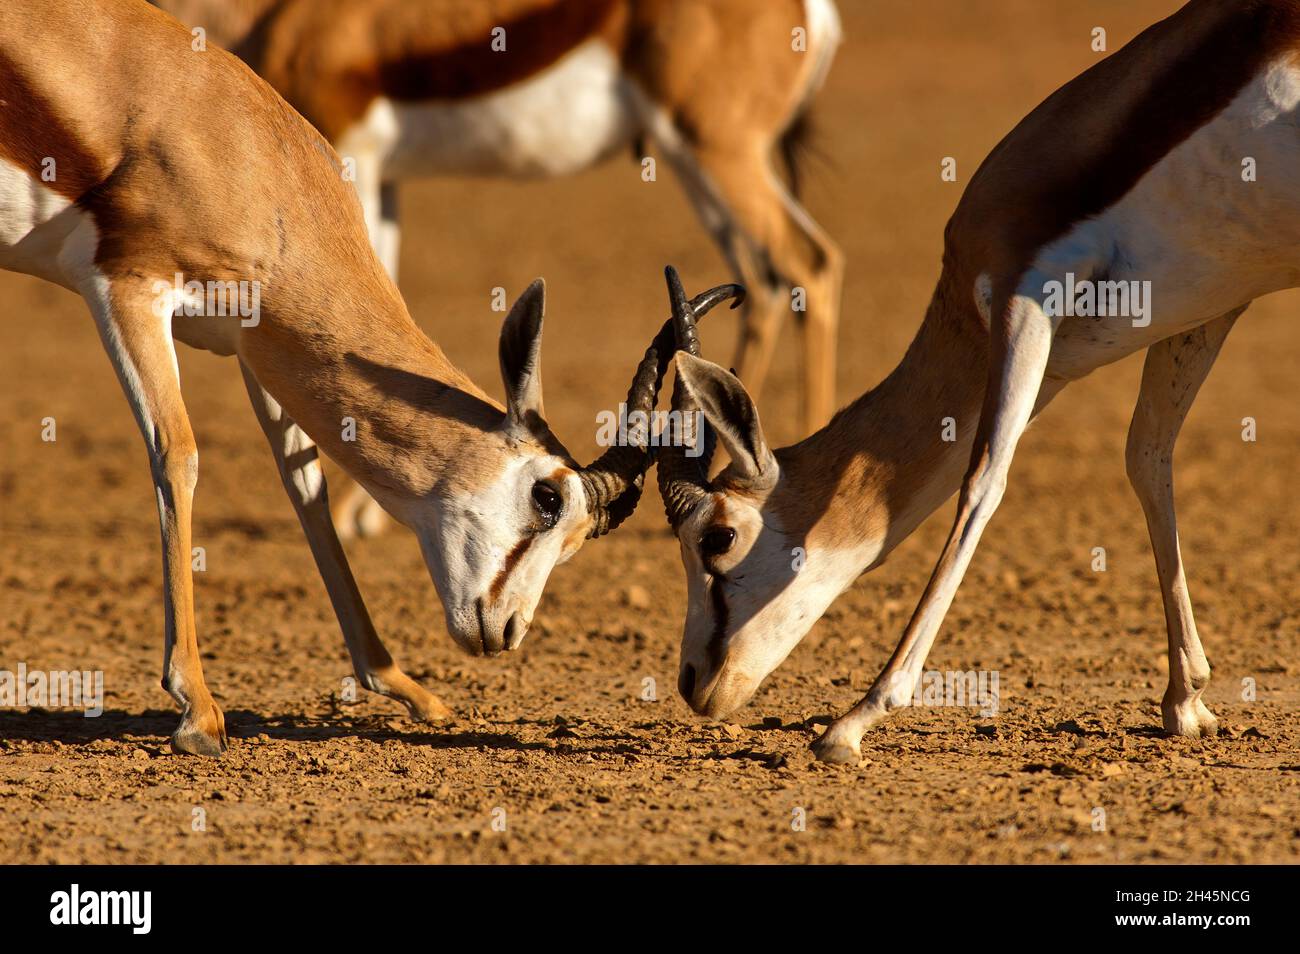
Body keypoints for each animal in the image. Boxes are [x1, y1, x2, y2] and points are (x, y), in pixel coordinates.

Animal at [0, 0, 741, 755]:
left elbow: (307, 489)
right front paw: (198, 712)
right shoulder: (126, 290)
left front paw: (406, 688)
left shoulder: (255, 345)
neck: (239, 149)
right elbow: (177, 455)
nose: (504, 631)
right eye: (547, 499)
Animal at [148, 0, 844, 540]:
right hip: (697, 163)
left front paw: (355, 514)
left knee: (810, 263)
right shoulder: (384, 176)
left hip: (715, 150)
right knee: (762, 281)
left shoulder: (348, 150)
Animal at [657, 0, 1300, 763]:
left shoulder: (1026, 301)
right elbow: (1147, 459)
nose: (693, 682)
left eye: (716, 537)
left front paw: (855, 719)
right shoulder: (1206, 310)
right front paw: (1186, 701)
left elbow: (983, 482)